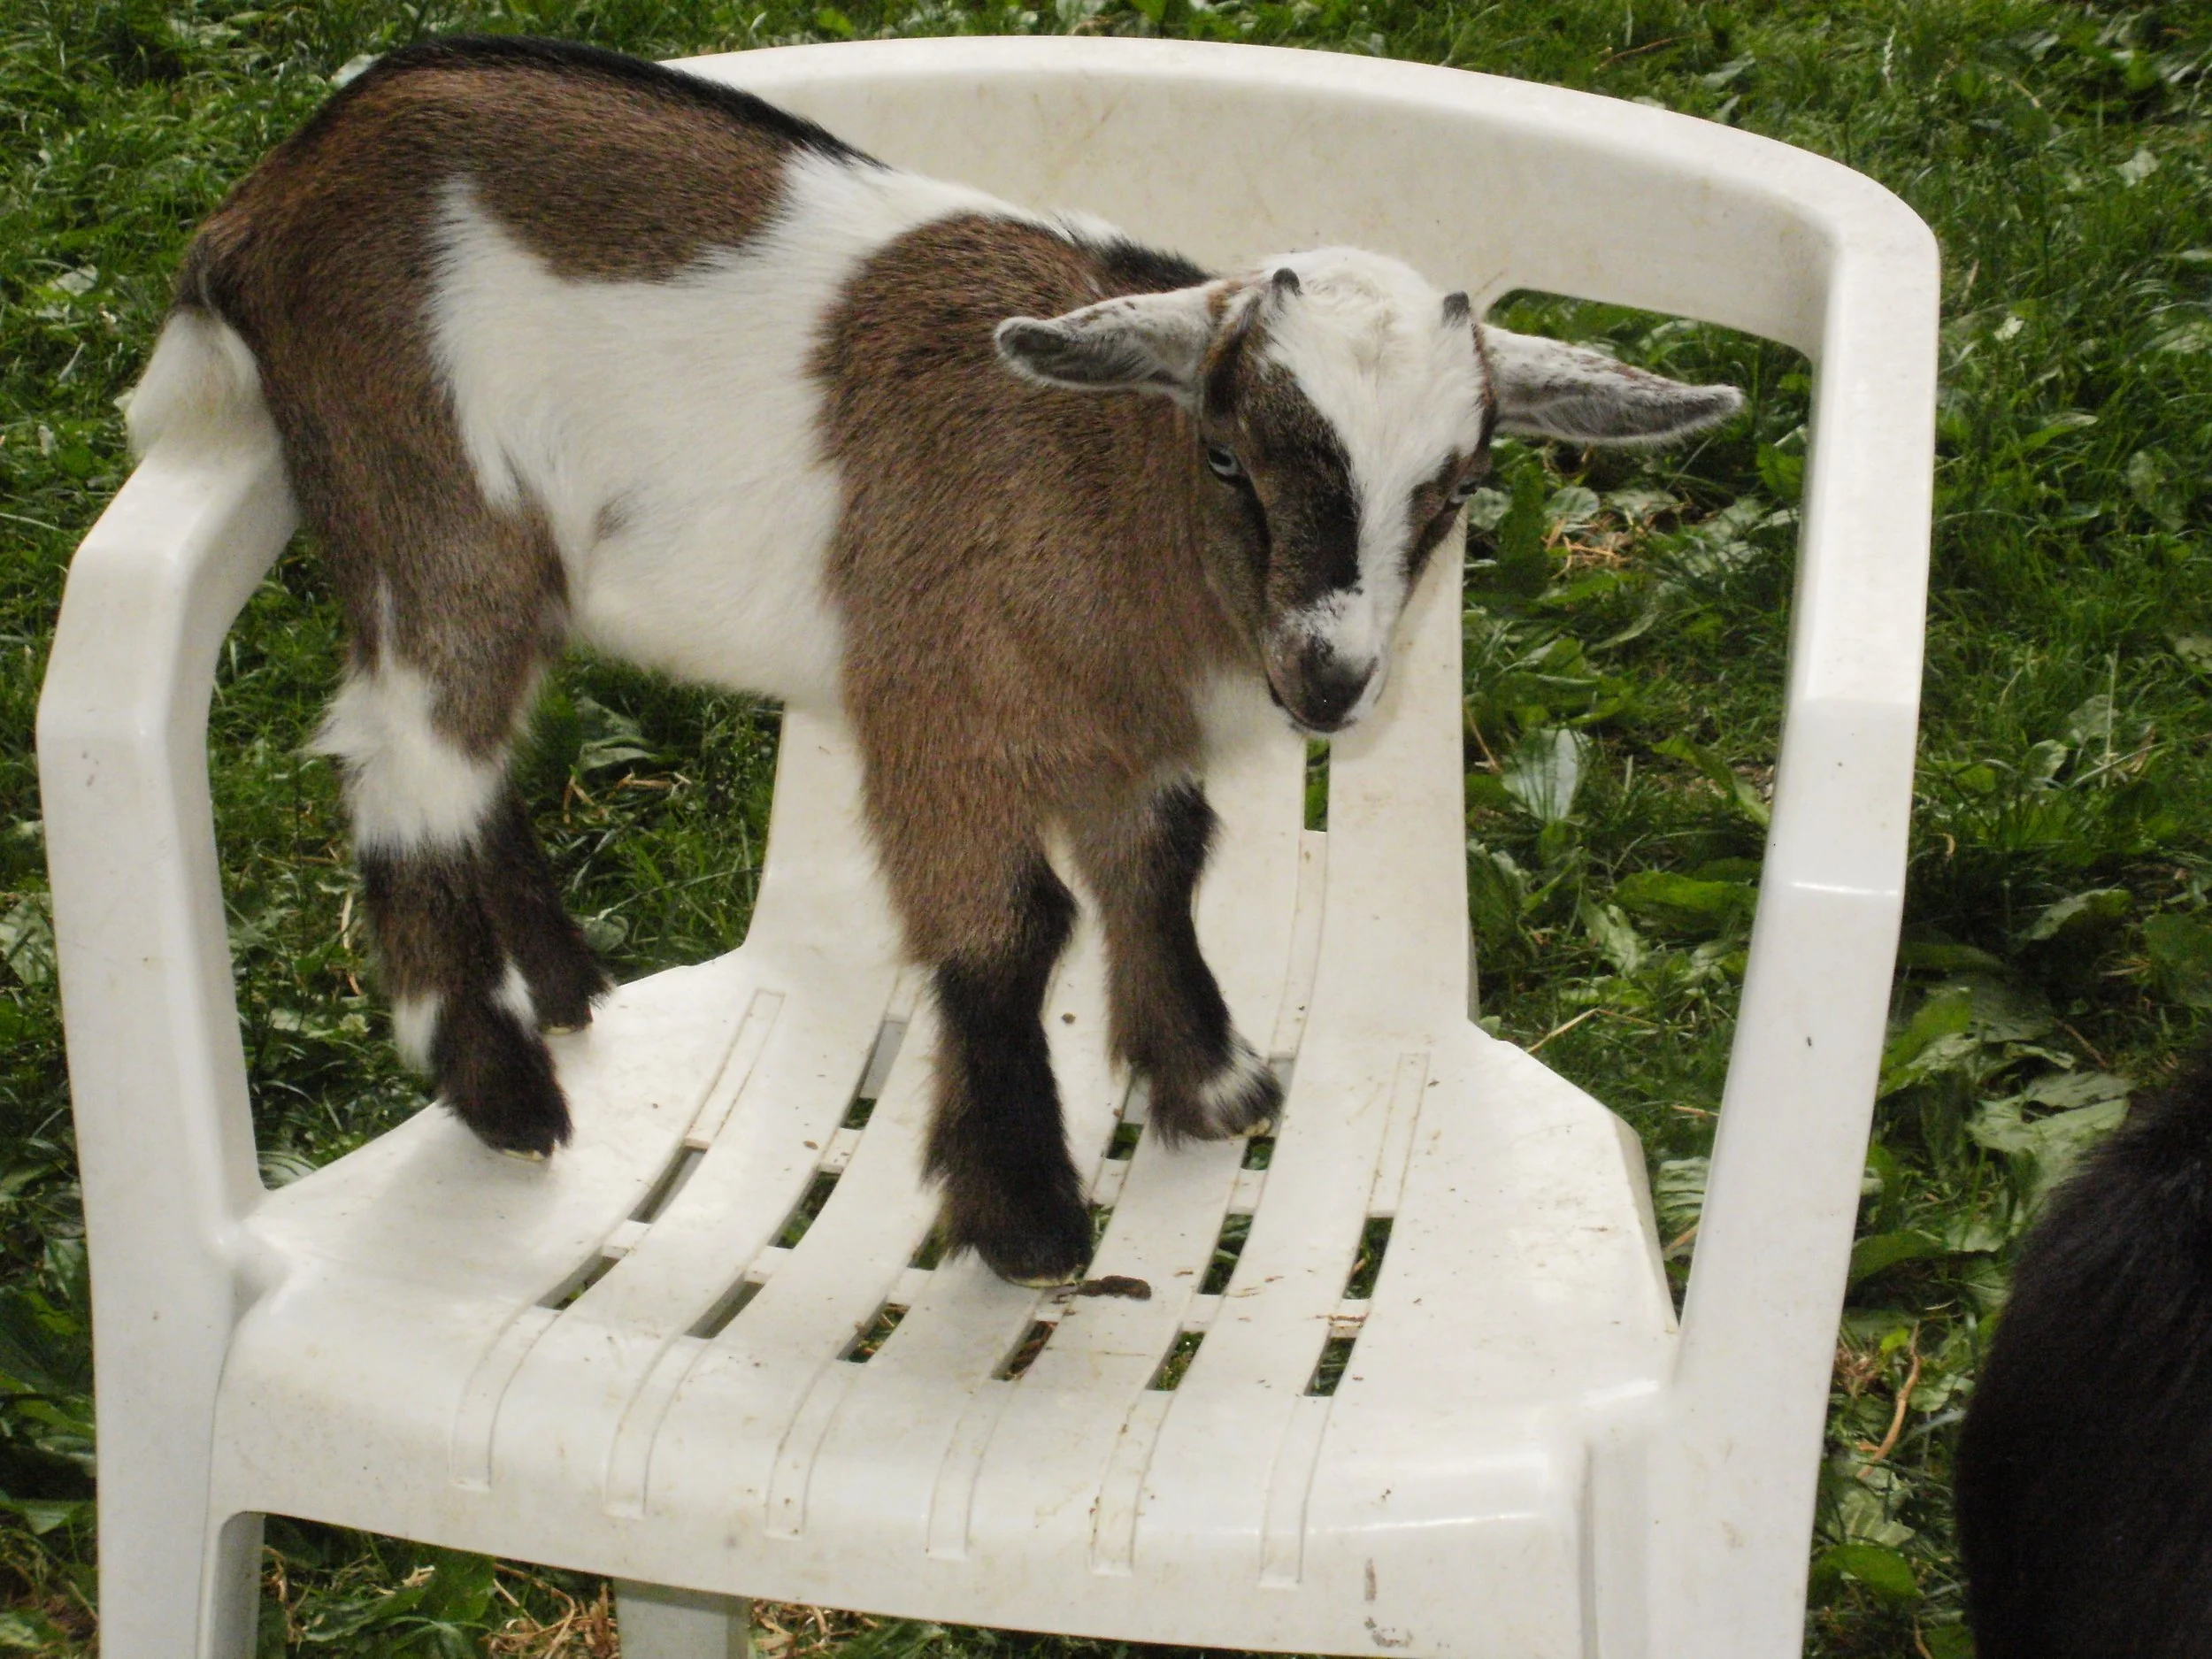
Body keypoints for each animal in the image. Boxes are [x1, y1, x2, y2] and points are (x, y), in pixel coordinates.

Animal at [129, 35, 1742, 1285]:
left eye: (1458, 488)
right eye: (1229, 455)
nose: (1331, 684)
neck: (1102, 485)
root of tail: (270, 193)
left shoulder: (1119, 730)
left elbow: (1160, 861)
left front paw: (1211, 1080)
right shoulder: (937, 707)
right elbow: (1010, 931)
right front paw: (1023, 1215)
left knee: (464, 754)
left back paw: (565, 982)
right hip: (428, 502)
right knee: (406, 753)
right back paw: (500, 1082)